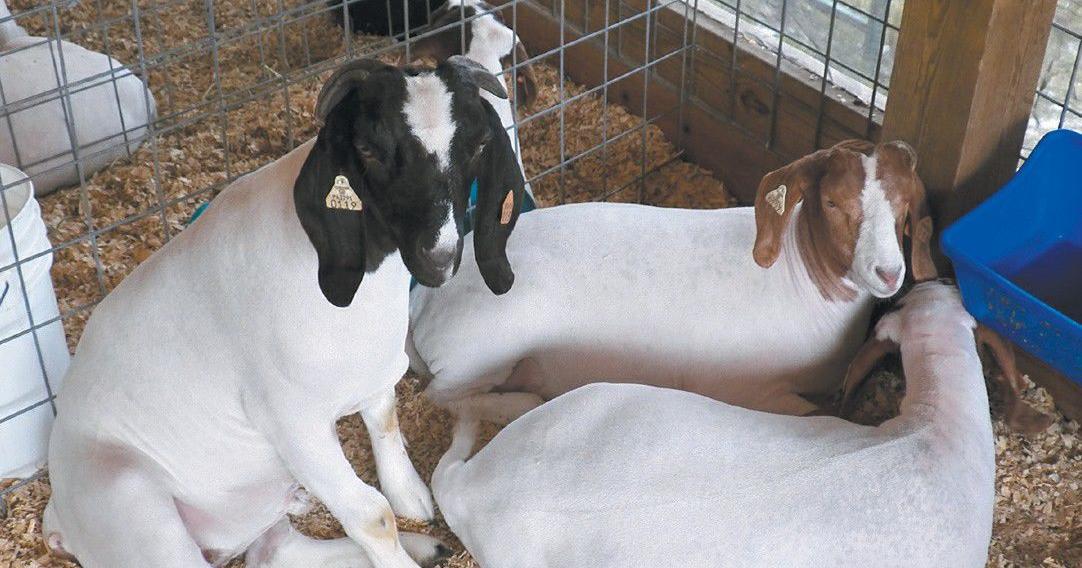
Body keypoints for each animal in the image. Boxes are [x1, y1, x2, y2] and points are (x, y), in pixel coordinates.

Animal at [42, 57, 525, 568]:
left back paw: (425, 545)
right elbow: (372, 516)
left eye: (479, 144)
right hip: (138, 511)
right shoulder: (292, 421)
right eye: (368, 149)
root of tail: (58, 519)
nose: (439, 257)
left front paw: (411, 497)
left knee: (276, 550)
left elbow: (385, 425)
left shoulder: (373, 372)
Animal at [409, 140, 932, 417]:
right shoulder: (758, 392)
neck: (799, 276)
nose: (889, 272)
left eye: (905, 205)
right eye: (831, 203)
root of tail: (423, 305)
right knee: (445, 395)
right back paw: (524, 401)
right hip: (484, 348)